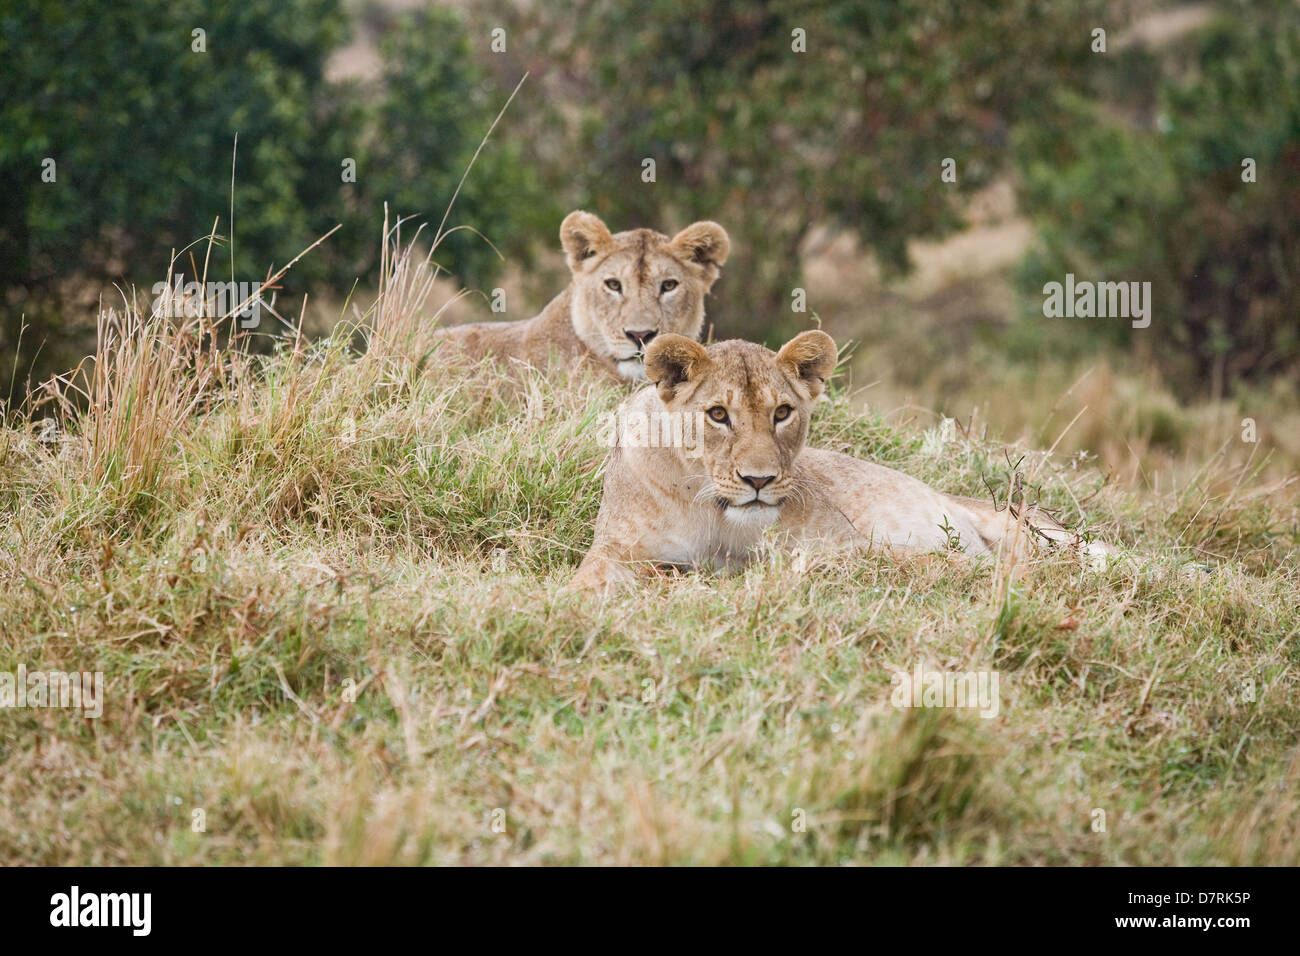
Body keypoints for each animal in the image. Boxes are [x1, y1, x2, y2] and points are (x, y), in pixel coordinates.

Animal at [570, 330, 1114, 591]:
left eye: (782, 412)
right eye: (718, 415)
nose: (759, 480)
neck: (711, 509)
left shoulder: (838, 543)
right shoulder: (614, 550)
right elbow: (588, 580)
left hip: (1026, 524)